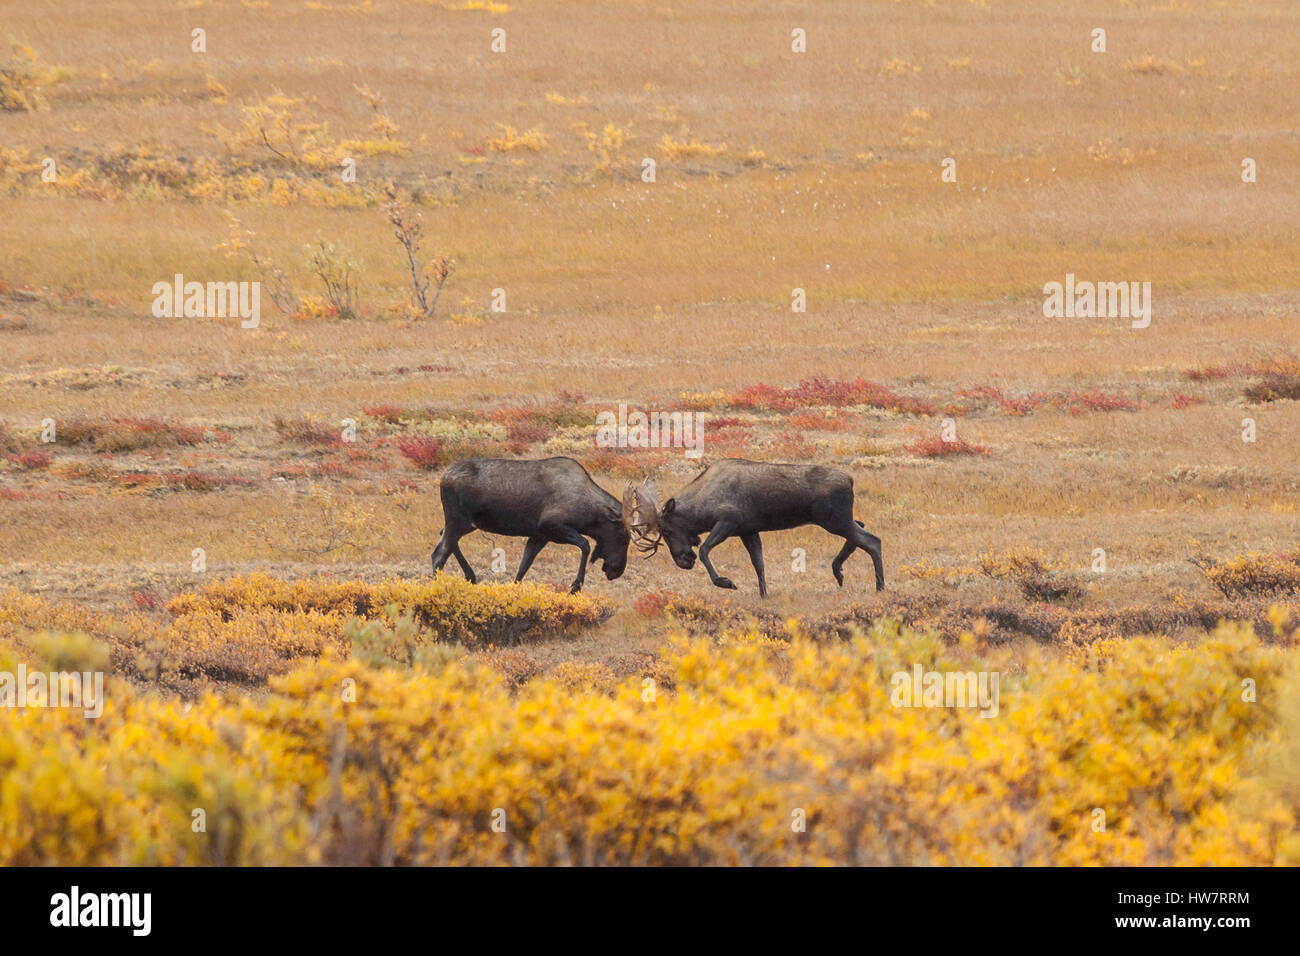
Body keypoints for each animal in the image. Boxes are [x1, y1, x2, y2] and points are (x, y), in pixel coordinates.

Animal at [431, 457, 639, 594]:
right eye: (623, 536)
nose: (617, 570)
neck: (590, 513)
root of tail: (442, 478)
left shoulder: (539, 536)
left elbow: (523, 568)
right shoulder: (551, 526)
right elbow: (585, 545)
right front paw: (576, 585)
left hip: (466, 524)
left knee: (444, 537)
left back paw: (470, 576)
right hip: (458, 521)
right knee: (439, 554)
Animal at [624, 458, 884, 598]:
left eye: (666, 531)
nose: (683, 561)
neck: (700, 507)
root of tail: (850, 480)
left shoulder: (729, 522)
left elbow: (706, 550)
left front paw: (726, 582)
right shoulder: (748, 531)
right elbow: (758, 563)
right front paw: (764, 594)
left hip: (834, 520)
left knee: (872, 540)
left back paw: (878, 585)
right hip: (838, 520)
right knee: (862, 530)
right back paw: (839, 572)